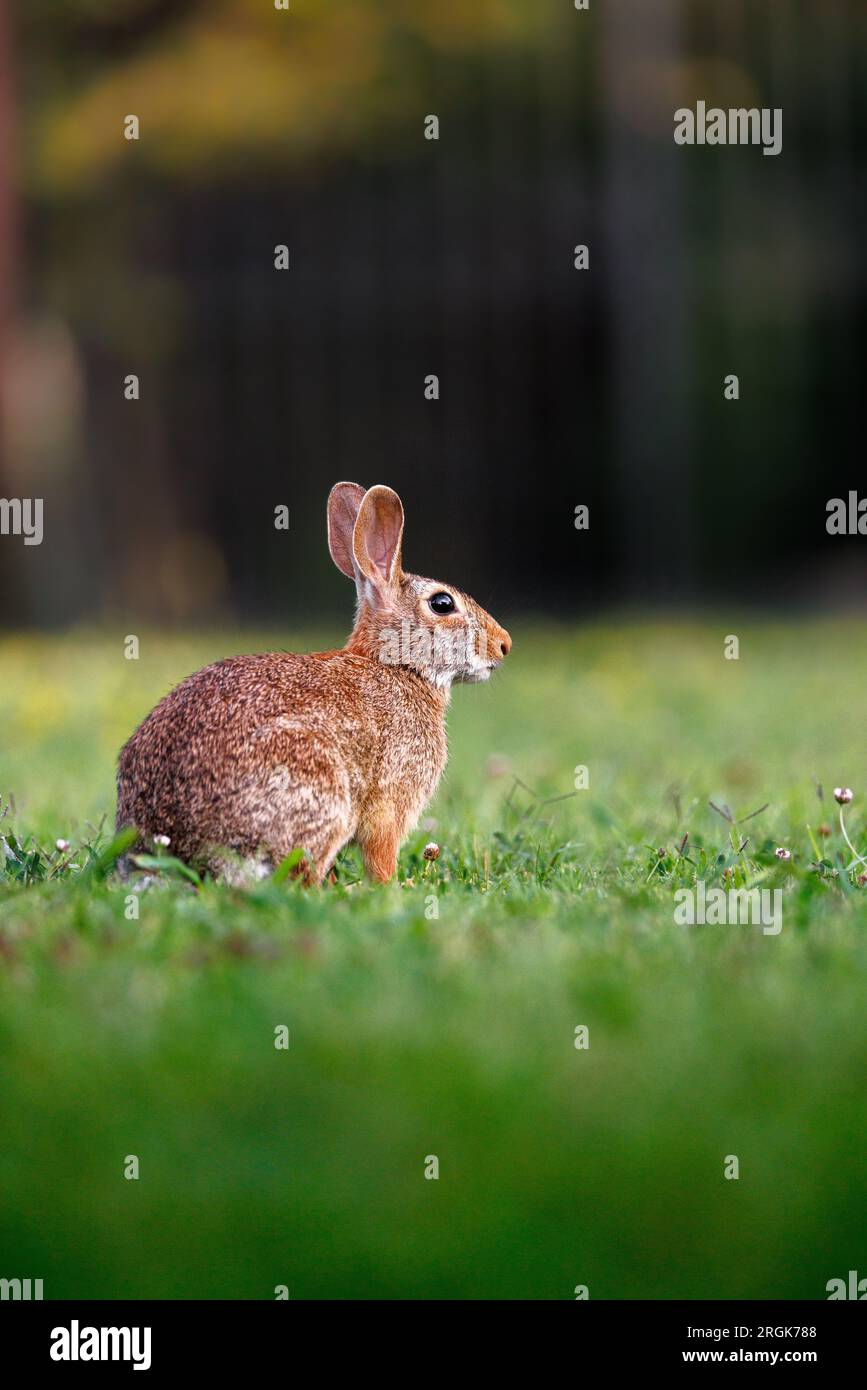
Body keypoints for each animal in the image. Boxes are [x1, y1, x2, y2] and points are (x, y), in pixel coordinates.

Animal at [116, 483, 511, 885]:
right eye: (442, 604)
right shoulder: (390, 802)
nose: (504, 645)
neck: (399, 666)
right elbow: (380, 854)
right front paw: (393, 887)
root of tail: (175, 843)